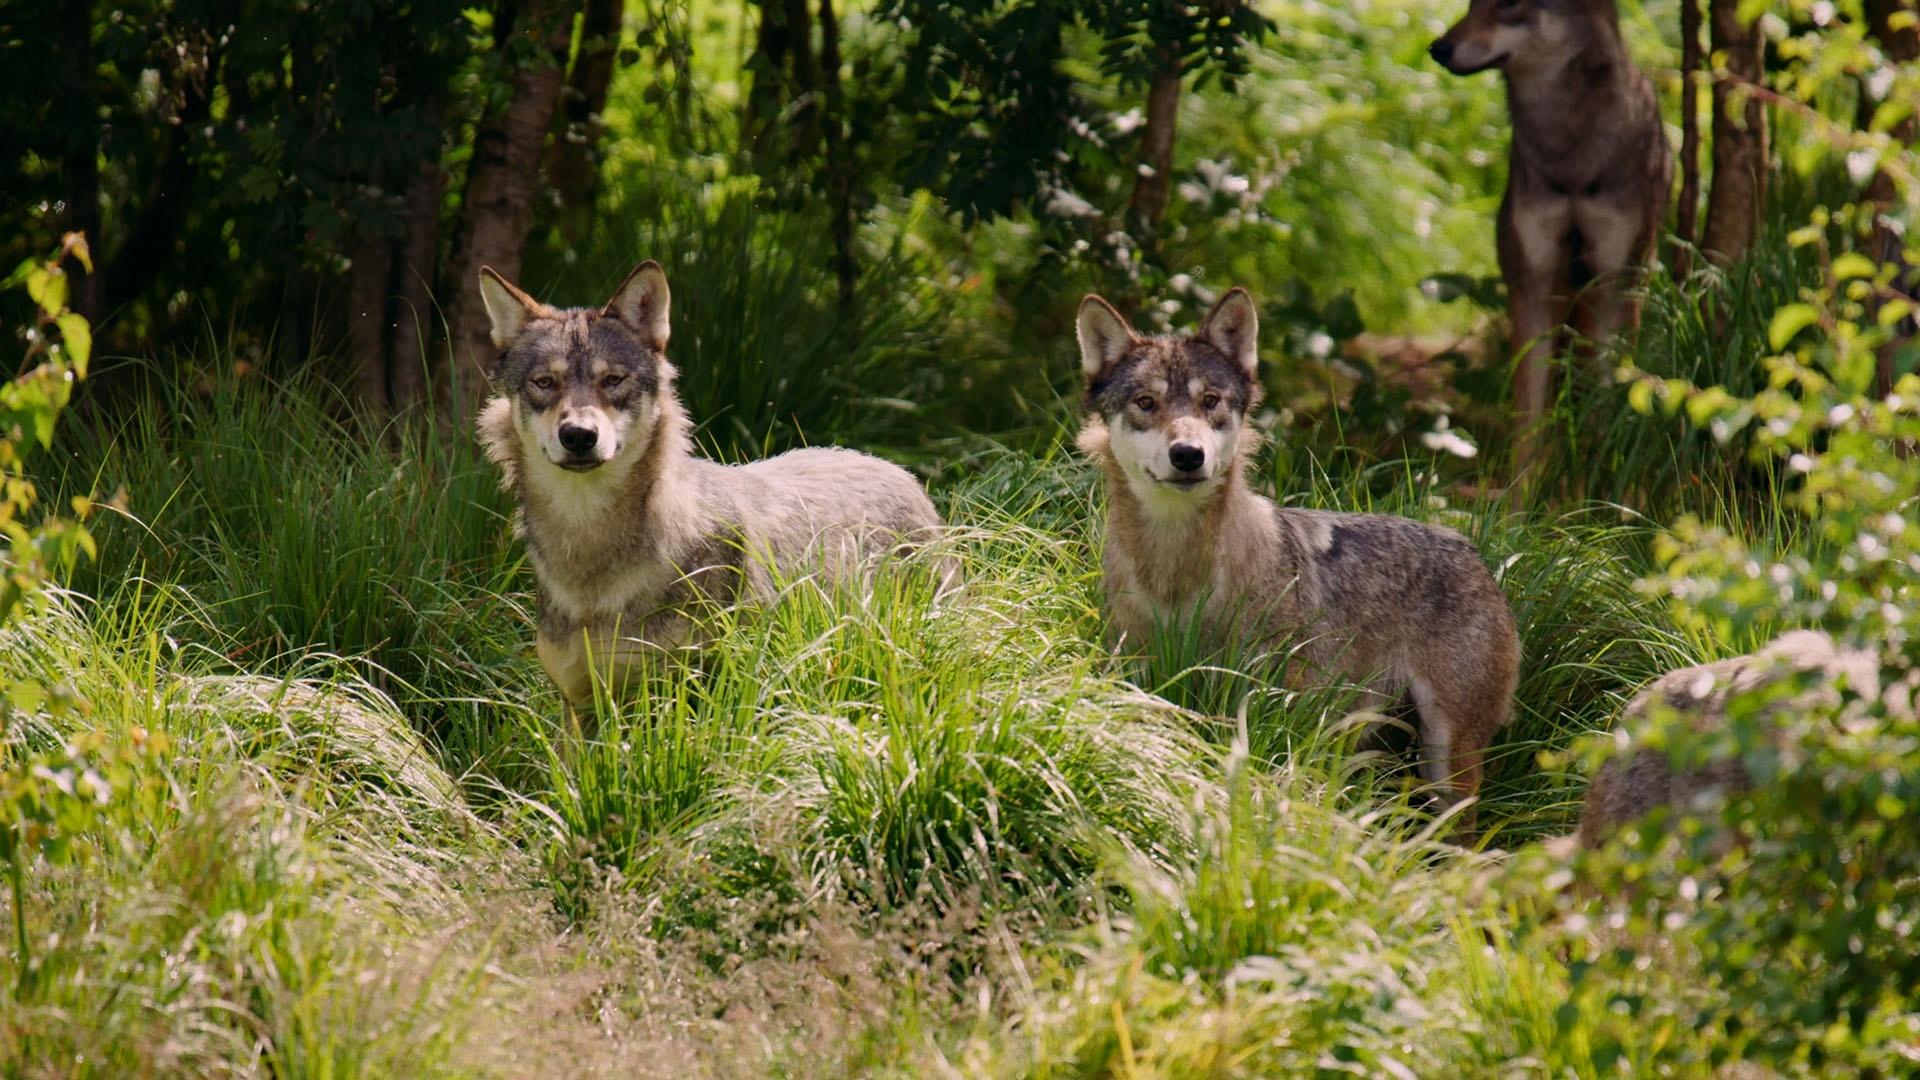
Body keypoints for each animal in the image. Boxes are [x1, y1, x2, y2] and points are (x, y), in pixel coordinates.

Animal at [475, 261, 946, 706]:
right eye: (544, 383)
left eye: (613, 380)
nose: (578, 436)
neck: (590, 560)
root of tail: (897, 471)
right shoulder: (579, 704)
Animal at [1075, 289, 1522, 806]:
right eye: (1147, 402)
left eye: (1210, 401)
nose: (1188, 455)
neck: (1177, 572)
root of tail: (1474, 553)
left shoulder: (1269, 709)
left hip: (1447, 759)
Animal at [1430, 0, 1672, 467]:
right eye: (1470, 4)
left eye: (1508, 5)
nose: (1438, 47)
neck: (1568, 155)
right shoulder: (1532, 283)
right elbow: (1529, 418)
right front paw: (1523, 490)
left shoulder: (1614, 284)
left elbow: (1605, 398)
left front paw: (1596, 480)